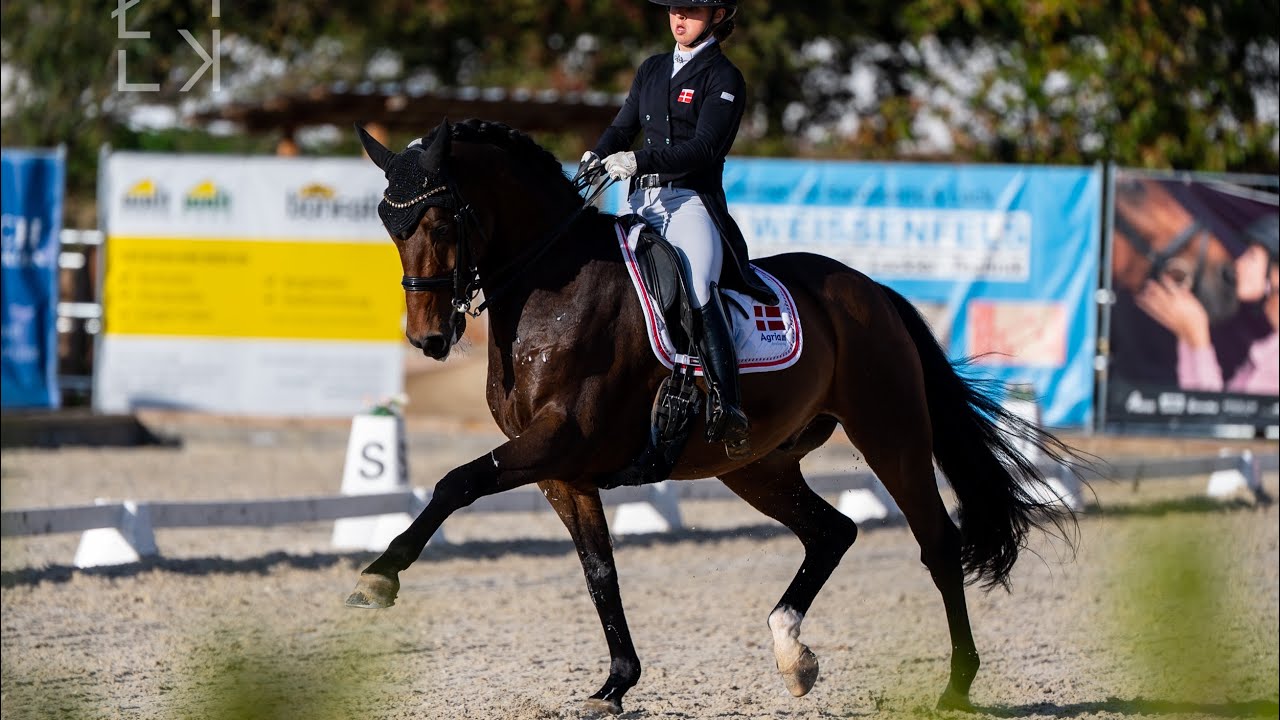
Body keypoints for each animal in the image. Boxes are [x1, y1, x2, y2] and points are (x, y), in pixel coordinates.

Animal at [345, 118, 1078, 715]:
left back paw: (955, 684)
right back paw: (793, 655)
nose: (428, 339)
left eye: (443, 221)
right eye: (388, 223)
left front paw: (379, 576)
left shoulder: (557, 441)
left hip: (890, 435)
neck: (552, 288)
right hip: (755, 465)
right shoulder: (562, 470)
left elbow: (456, 483)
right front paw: (616, 684)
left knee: (936, 544)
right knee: (832, 532)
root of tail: (872, 290)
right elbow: (600, 572)